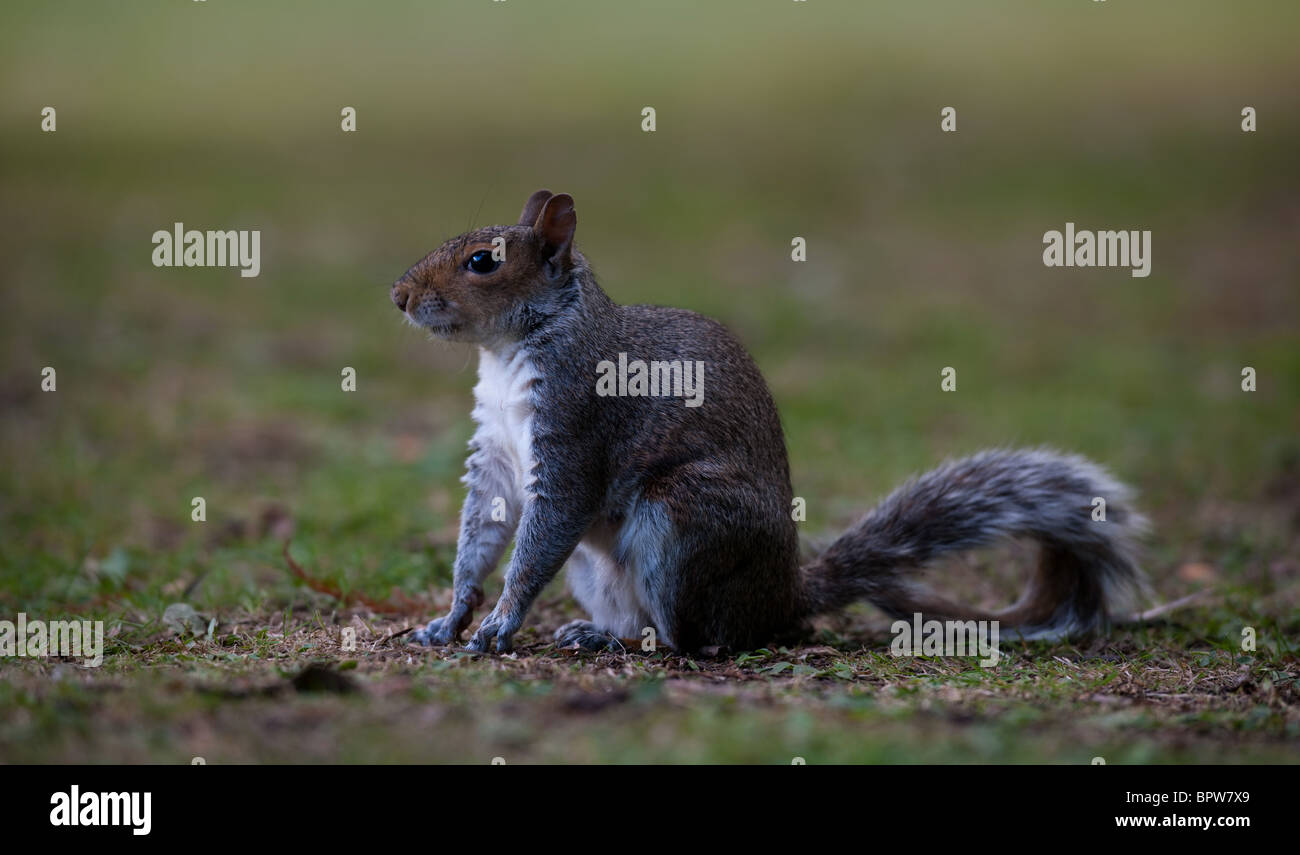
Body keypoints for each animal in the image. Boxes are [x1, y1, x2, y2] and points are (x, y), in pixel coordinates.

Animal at [390, 189, 1148, 654]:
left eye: (483, 261)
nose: (398, 295)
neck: (513, 350)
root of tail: (783, 596)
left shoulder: (575, 429)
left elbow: (543, 531)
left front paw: (500, 623)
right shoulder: (496, 450)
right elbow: (482, 529)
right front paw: (451, 617)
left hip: (681, 519)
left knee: (694, 638)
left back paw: (629, 640)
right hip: (601, 567)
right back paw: (597, 632)